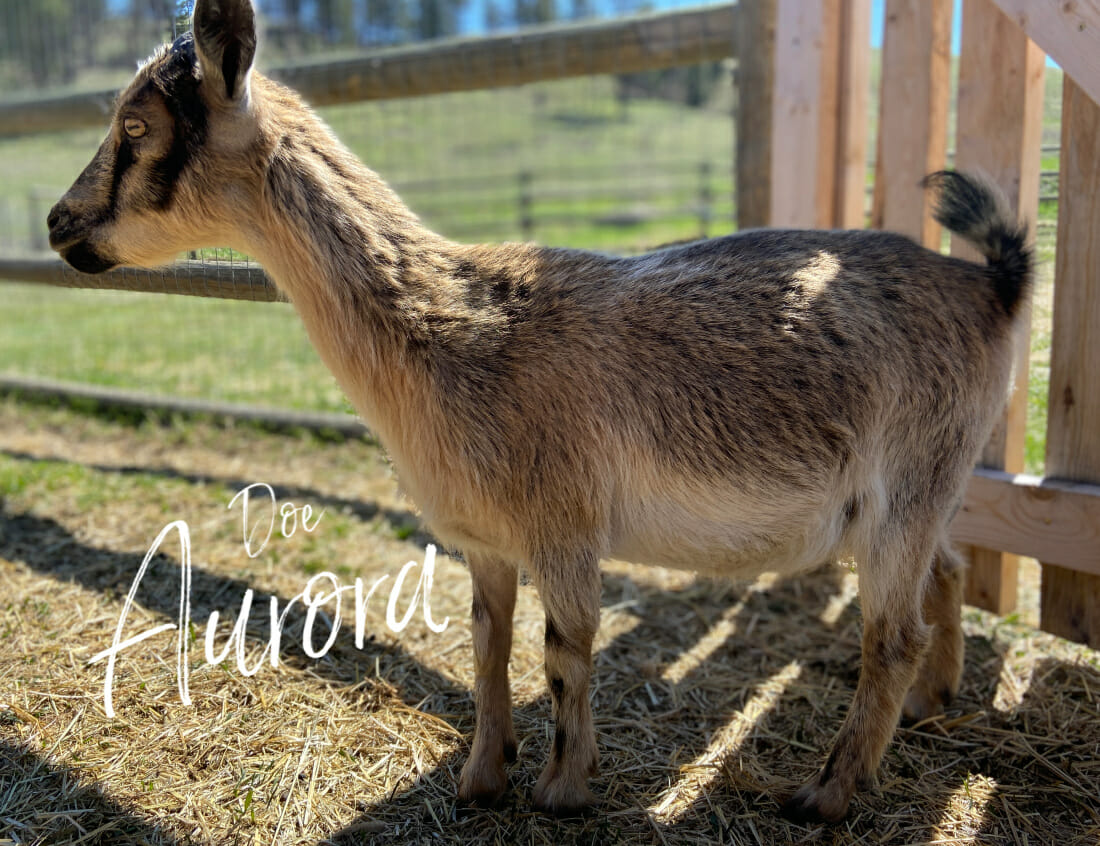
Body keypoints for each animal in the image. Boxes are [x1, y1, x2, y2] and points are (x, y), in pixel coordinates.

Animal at [48, 0, 1031, 823]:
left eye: (136, 128)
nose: (59, 224)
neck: (452, 326)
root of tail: (993, 287)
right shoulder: (483, 540)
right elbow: (488, 651)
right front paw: (482, 776)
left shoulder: (564, 521)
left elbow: (566, 651)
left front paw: (562, 789)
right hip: (925, 485)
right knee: (946, 574)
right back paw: (936, 703)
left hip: (910, 479)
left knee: (891, 636)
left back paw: (826, 794)